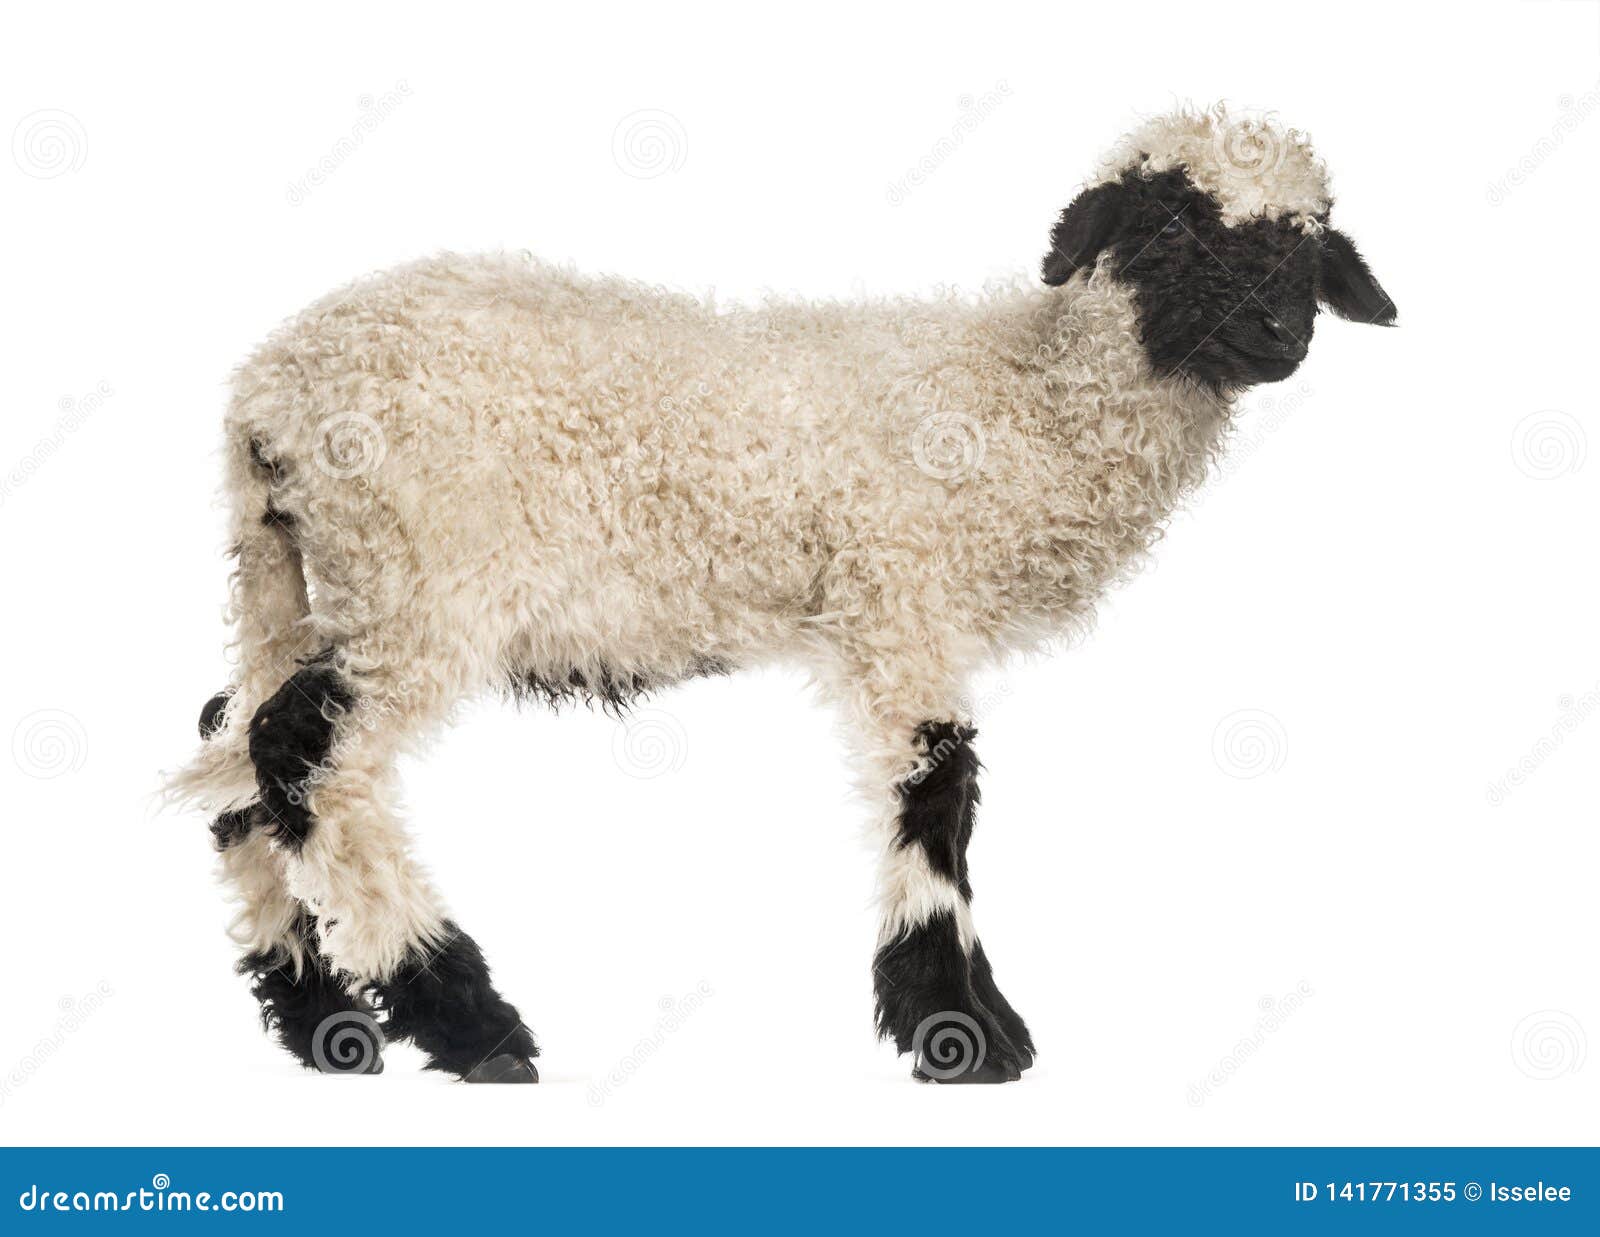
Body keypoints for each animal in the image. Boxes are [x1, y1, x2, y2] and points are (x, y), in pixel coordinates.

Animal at [170, 104, 1396, 1084]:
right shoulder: (896, 595)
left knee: (234, 758)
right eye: (1171, 227)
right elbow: (938, 795)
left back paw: (324, 1022)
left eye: (1308, 246)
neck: (1025, 405)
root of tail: (266, 393)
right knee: (302, 755)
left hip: (308, 580)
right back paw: (470, 1022)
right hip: (419, 580)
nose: (1279, 334)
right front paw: (959, 1033)